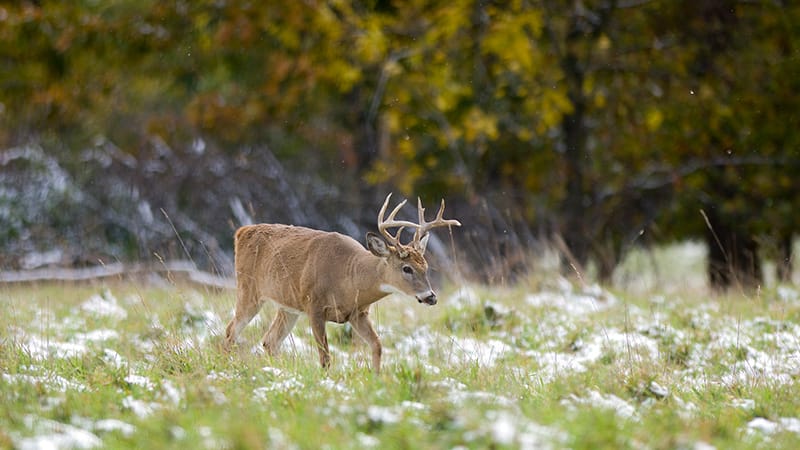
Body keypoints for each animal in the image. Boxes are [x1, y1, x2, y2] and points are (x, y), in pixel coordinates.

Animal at [224, 193, 461, 373]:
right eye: (407, 268)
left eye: (426, 267)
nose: (431, 297)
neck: (348, 278)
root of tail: (241, 232)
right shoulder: (314, 306)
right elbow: (325, 357)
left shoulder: (358, 313)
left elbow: (377, 345)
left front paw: (376, 377)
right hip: (249, 290)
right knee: (231, 330)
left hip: (288, 307)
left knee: (269, 341)